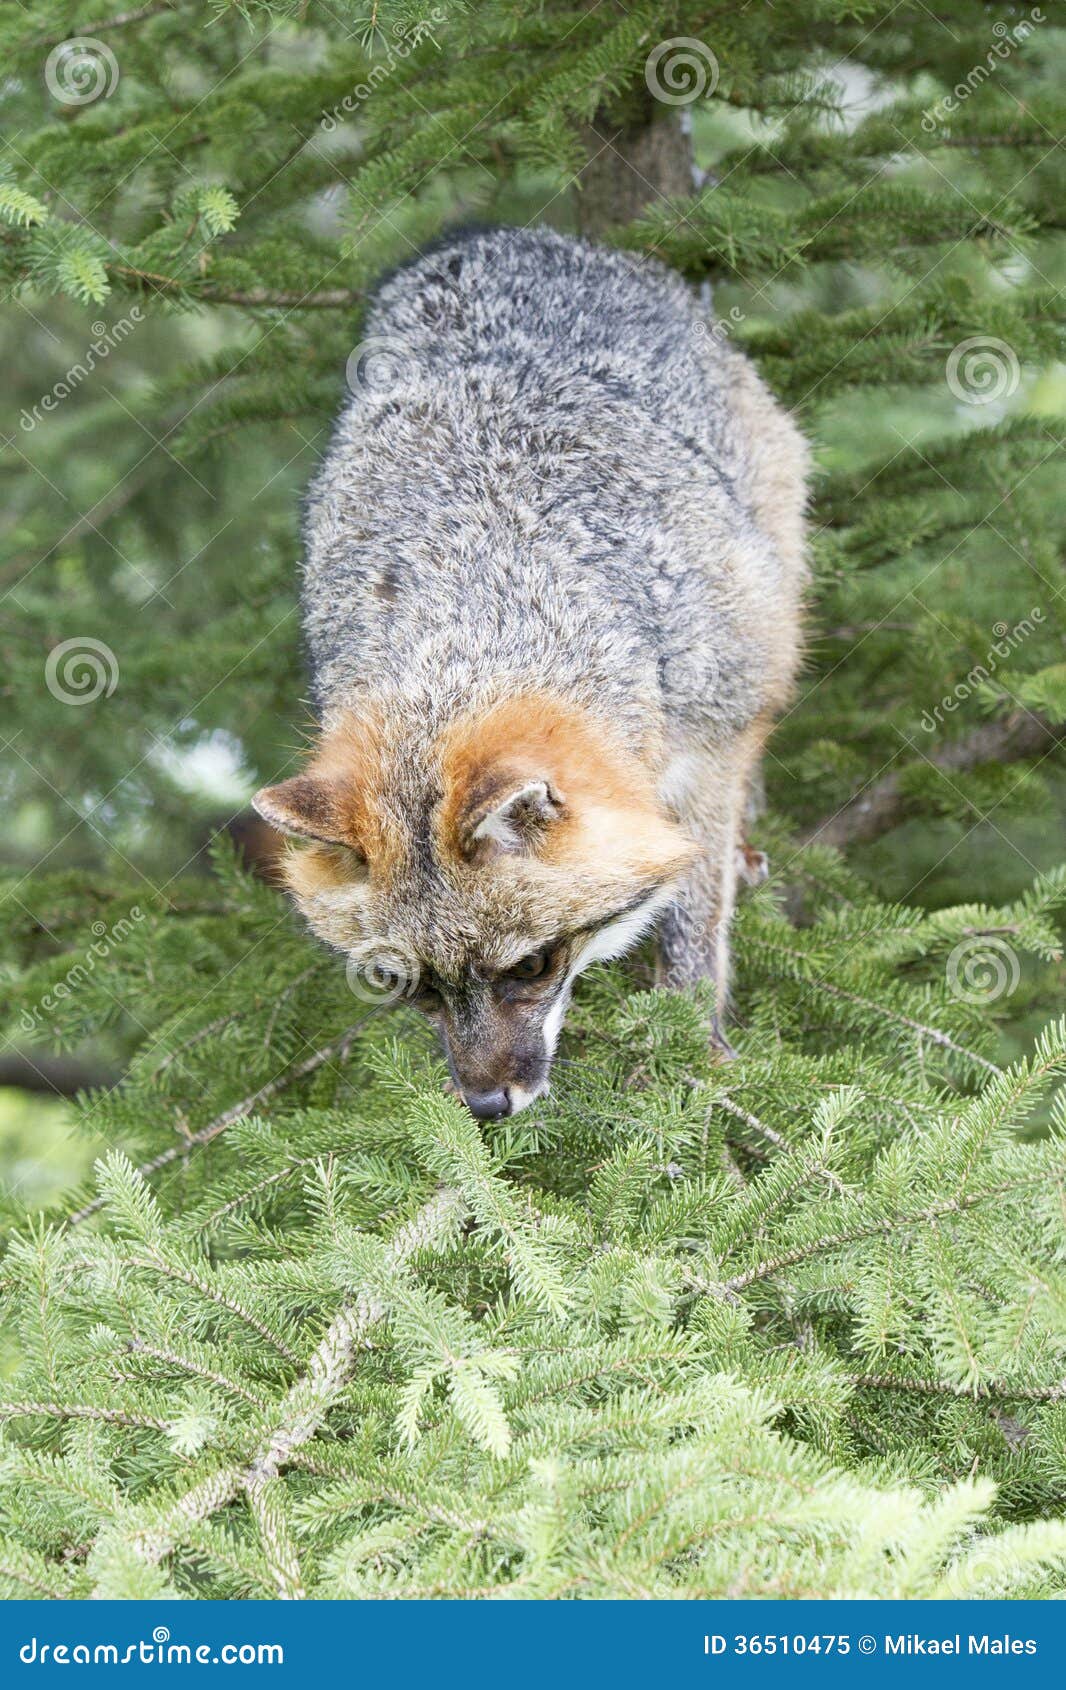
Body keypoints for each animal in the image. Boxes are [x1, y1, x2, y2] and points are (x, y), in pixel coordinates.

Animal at [254, 225, 808, 1121]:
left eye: (532, 966)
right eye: (410, 986)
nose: (486, 1107)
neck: (490, 597)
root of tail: (512, 236)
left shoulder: (711, 731)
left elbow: (692, 909)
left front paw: (689, 1044)